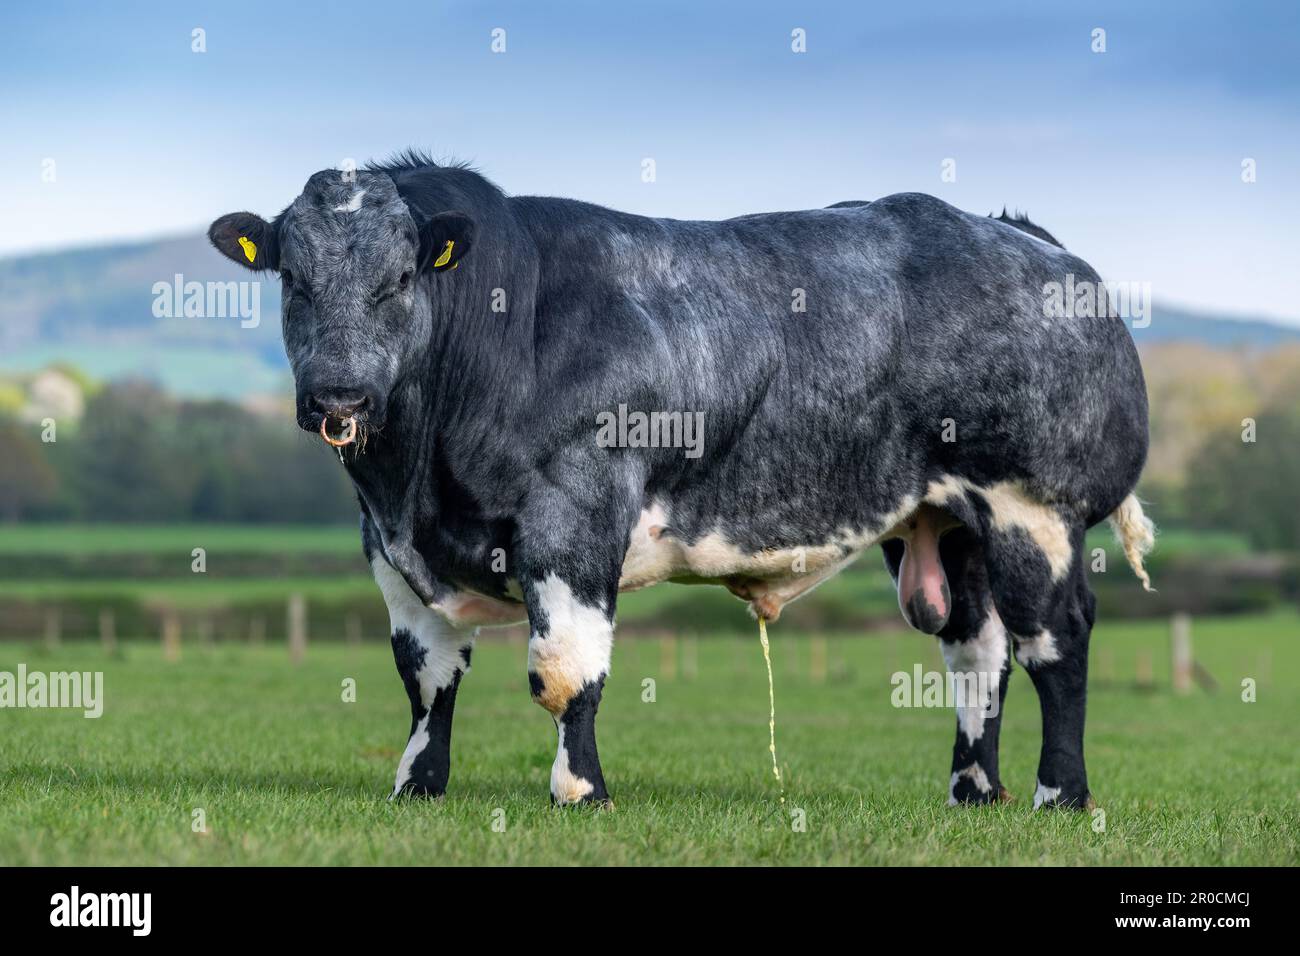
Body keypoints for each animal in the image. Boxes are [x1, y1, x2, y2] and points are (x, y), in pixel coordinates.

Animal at [209, 151, 1153, 809]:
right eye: (292, 277)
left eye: (401, 277)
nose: (339, 395)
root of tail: (1020, 234)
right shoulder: (391, 548)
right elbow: (427, 676)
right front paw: (417, 785)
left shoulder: (575, 515)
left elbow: (565, 670)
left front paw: (581, 791)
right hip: (948, 521)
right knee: (977, 651)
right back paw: (972, 790)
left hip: (1031, 508)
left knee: (1056, 640)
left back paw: (1059, 793)